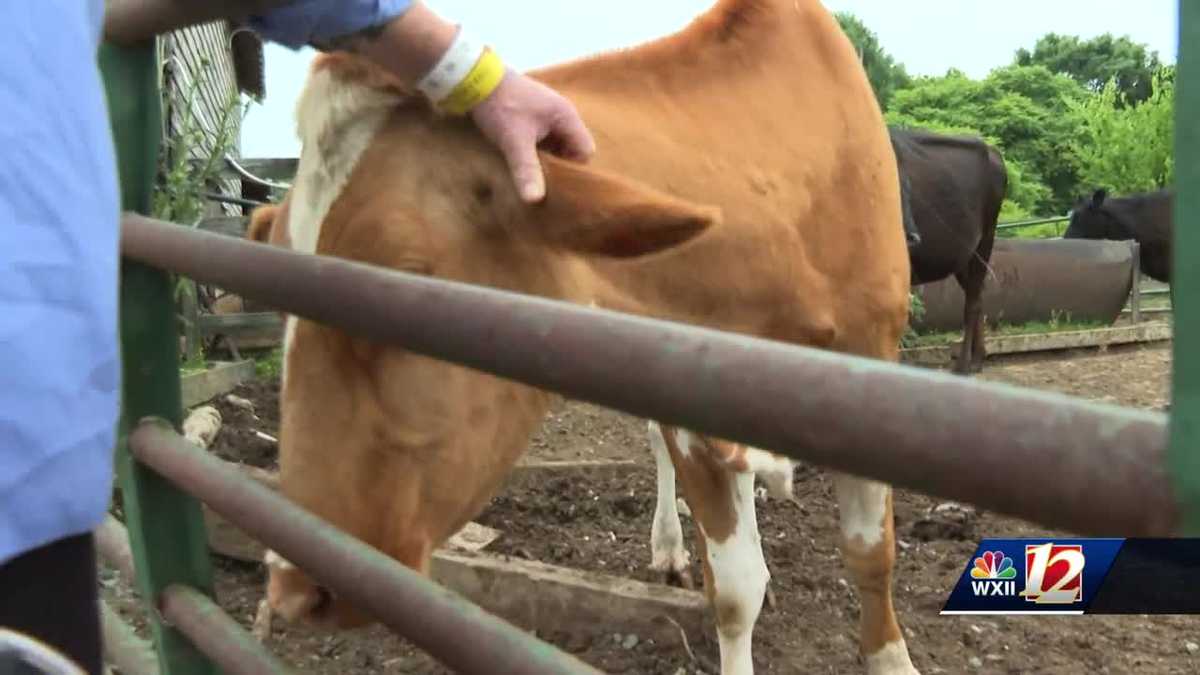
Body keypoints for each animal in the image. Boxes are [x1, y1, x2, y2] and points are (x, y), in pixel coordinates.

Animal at [257, 2, 919, 673]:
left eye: (408, 276)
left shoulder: (873, 351)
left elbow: (870, 551)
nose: (290, 584)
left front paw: (892, 658)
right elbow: (735, 589)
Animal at [890, 127, 1007, 374]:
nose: (911, 237)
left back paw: (964, 365)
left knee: (972, 301)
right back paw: (977, 359)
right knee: (977, 294)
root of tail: (992, 152)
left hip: (986, 239)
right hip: (963, 256)